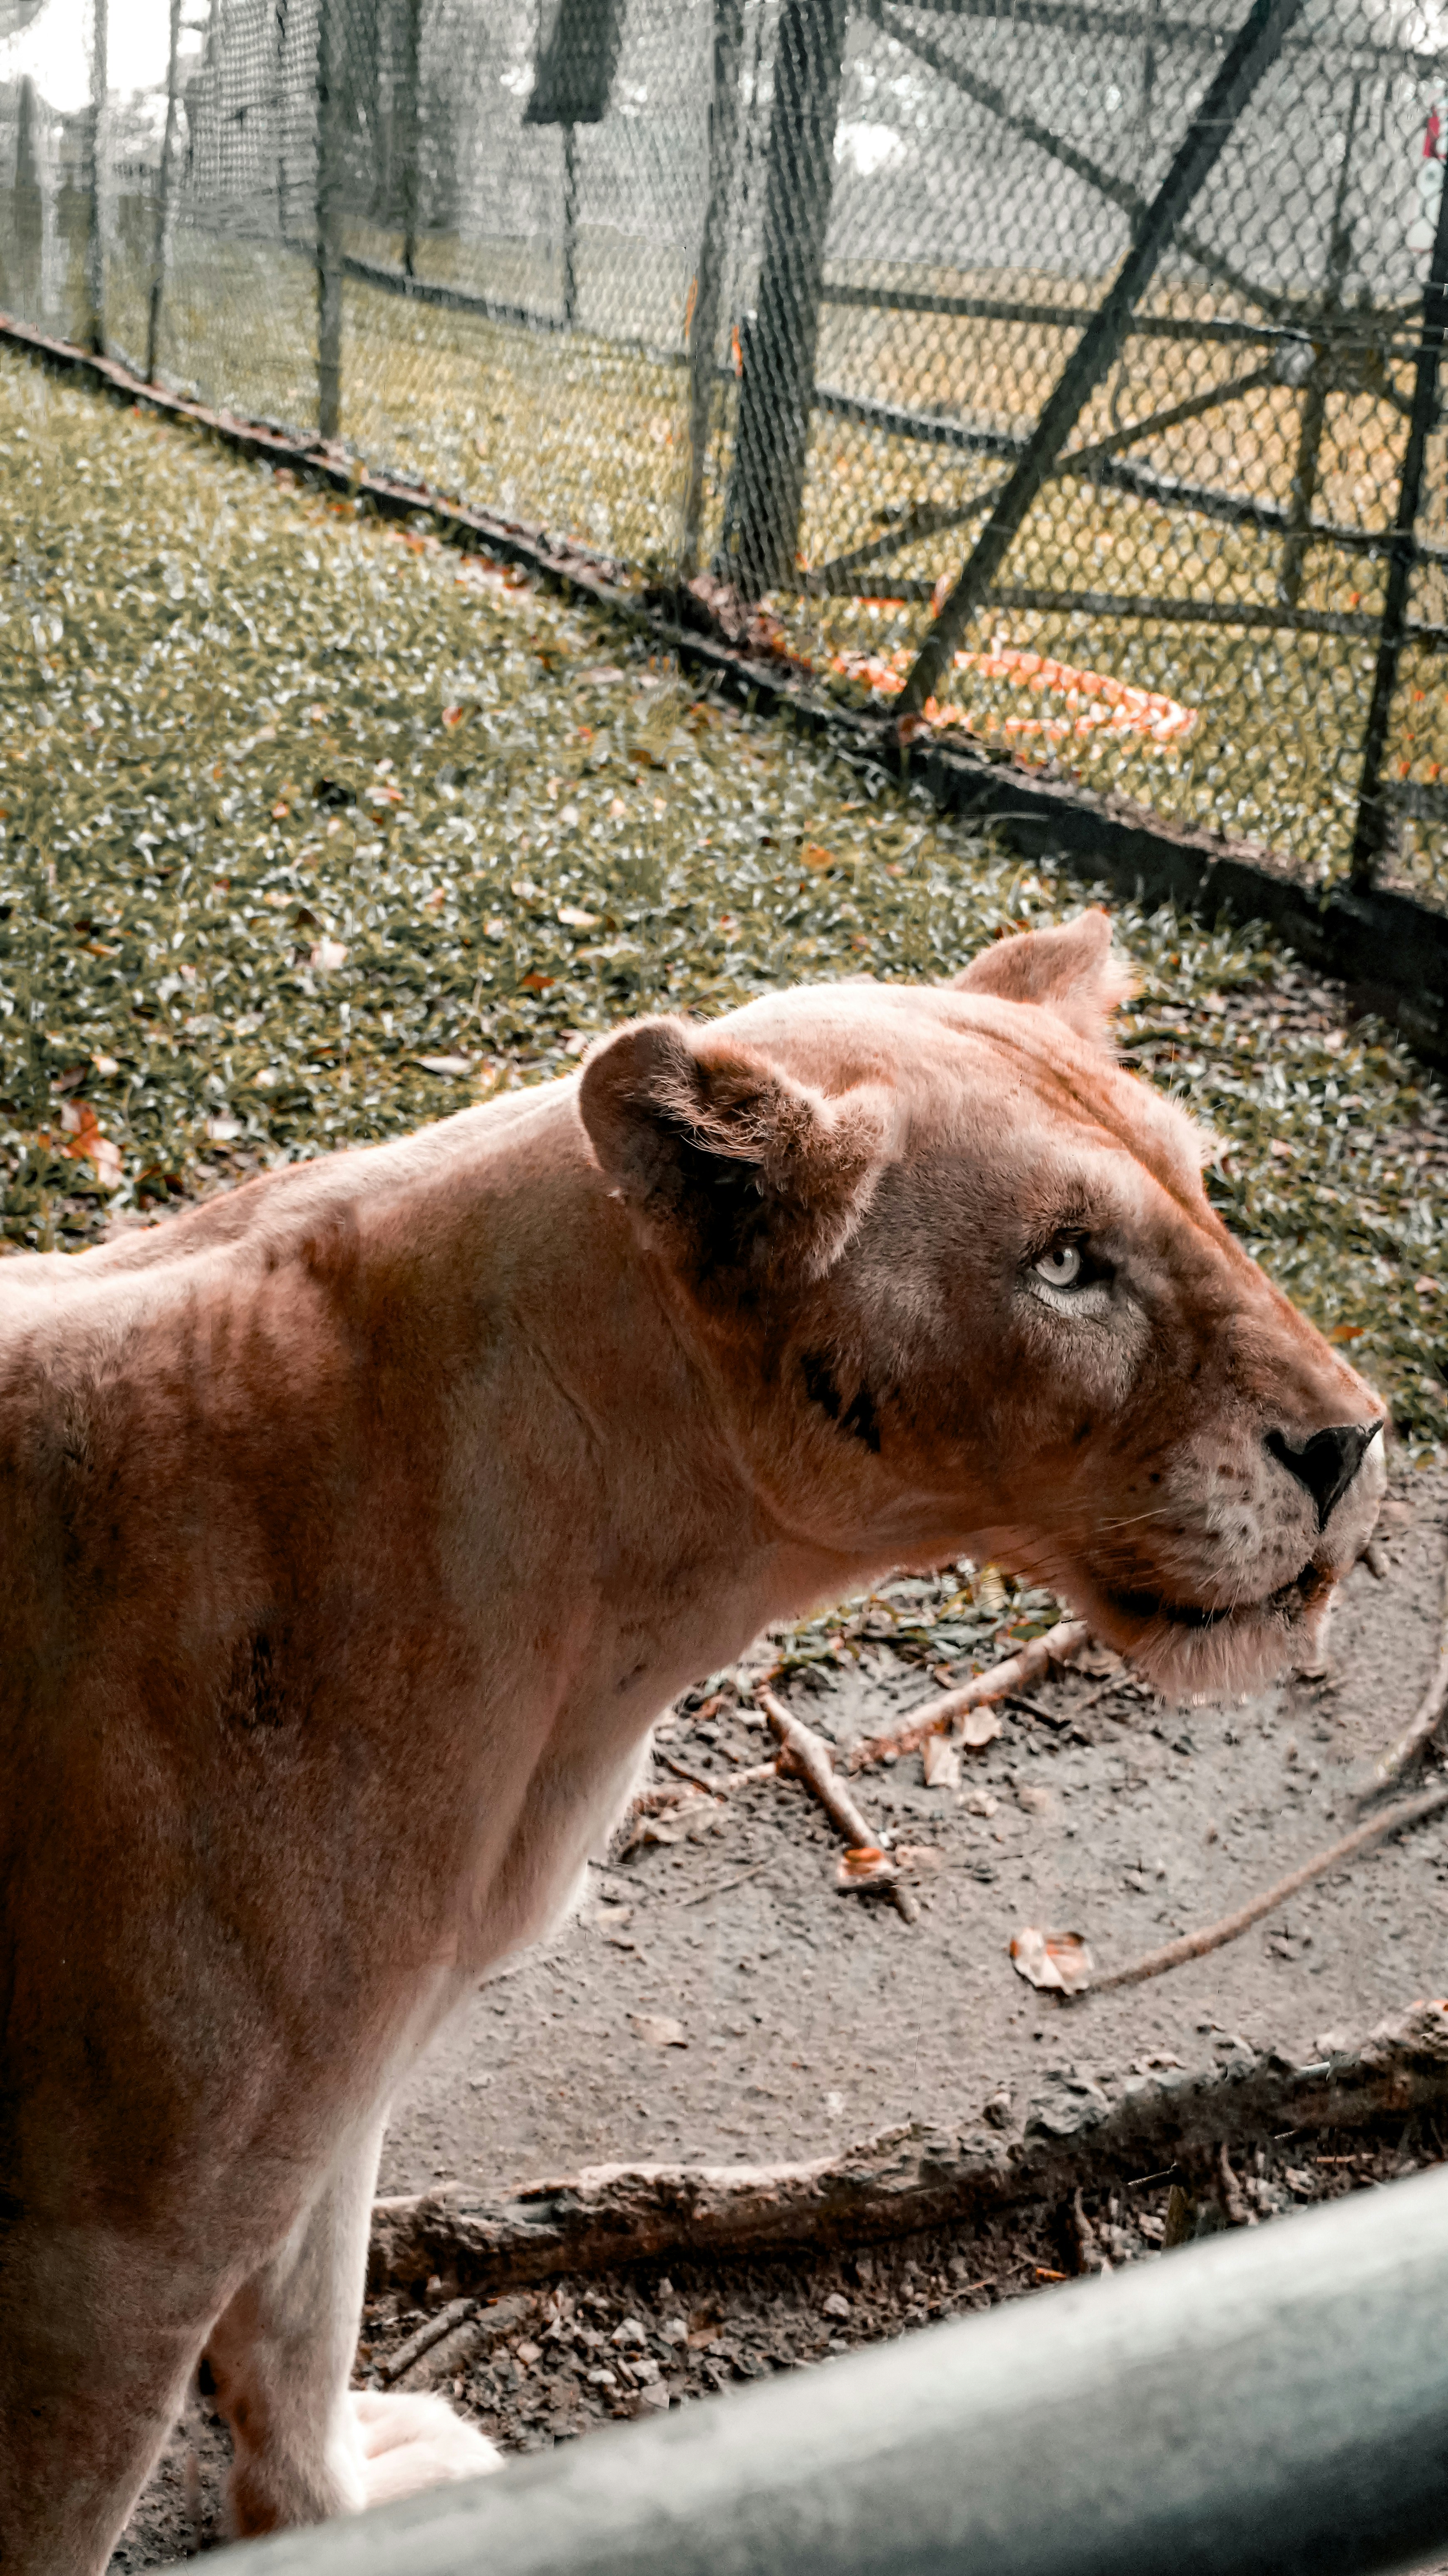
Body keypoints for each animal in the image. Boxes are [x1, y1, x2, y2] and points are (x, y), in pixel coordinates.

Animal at [0, 912, 1383, 2569]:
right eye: (1064, 1263)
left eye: (1203, 1189)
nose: (1358, 1440)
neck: (618, 1605)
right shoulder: (105, 2254)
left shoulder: (336, 2087)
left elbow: (300, 2332)